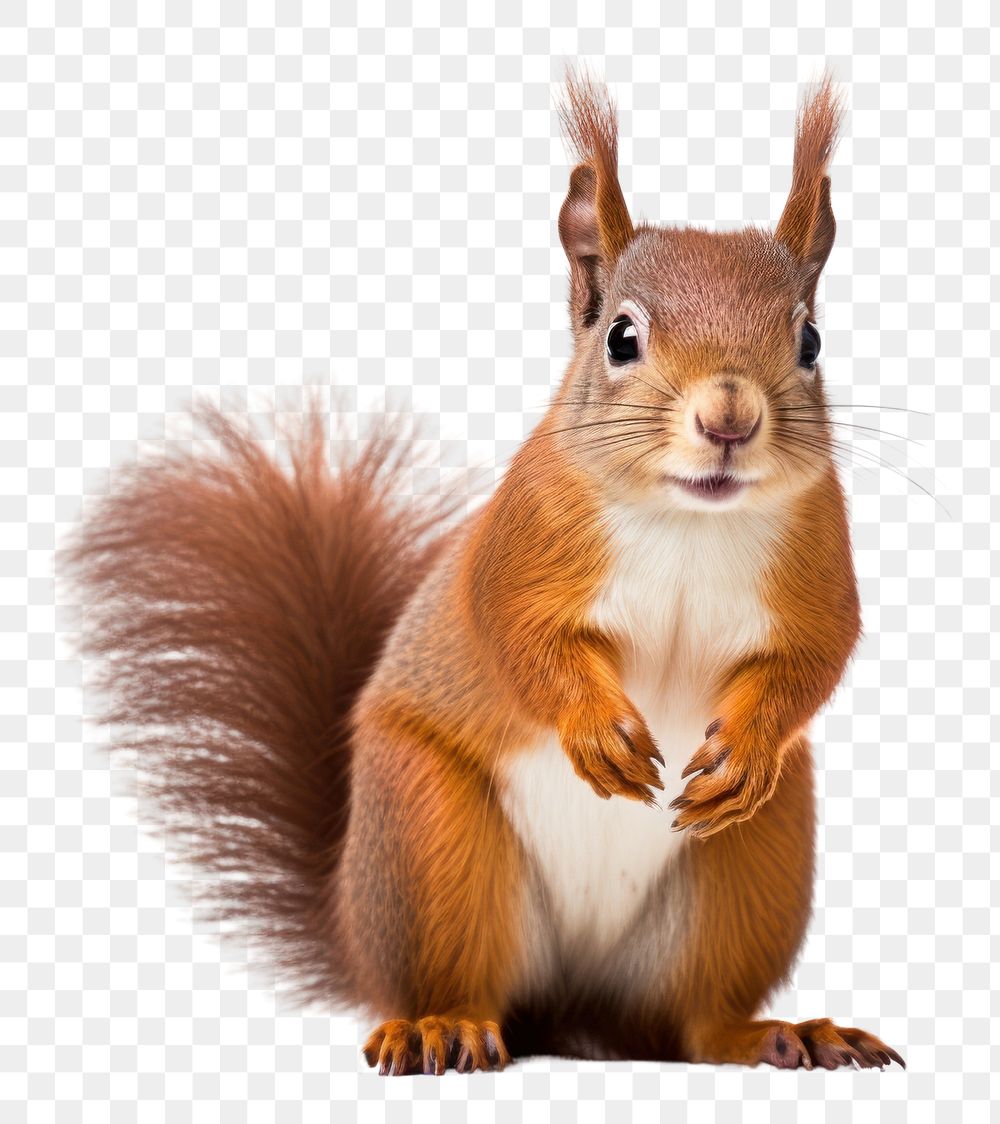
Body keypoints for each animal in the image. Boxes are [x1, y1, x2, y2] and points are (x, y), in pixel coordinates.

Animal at [66, 71, 905, 1074]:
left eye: (810, 341)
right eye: (621, 338)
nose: (729, 418)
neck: (689, 525)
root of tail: (578, 1010)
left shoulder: (816, 558)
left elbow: (817, 653)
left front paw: (748, 748)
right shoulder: (518, 543)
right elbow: (515, 633)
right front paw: (595, 730)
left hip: (753, 868)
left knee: (697, 1021)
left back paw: (779, 1033)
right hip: (434, 840)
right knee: (460, 979)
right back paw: (441, 1026)